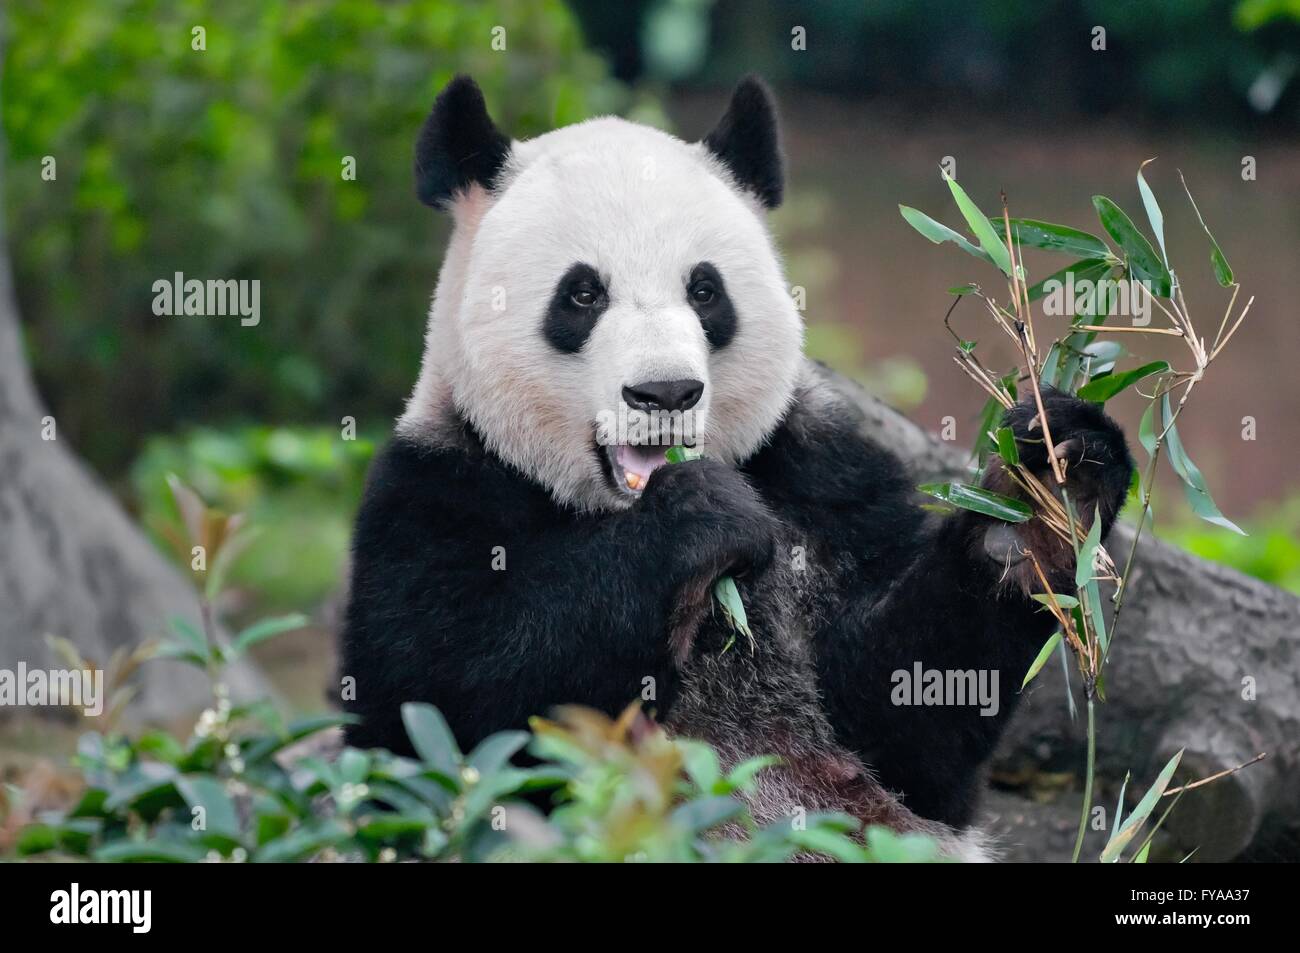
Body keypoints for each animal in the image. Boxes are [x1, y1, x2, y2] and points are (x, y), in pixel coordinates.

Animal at [340, 74, 1134, 860]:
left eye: (704, 290)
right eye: (582, 293)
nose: (664, 393)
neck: (607, 507)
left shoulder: (821, 477)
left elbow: (908, 715)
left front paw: (1047, 496)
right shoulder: (435, 491)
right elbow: (446, 703)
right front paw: (698, 518)